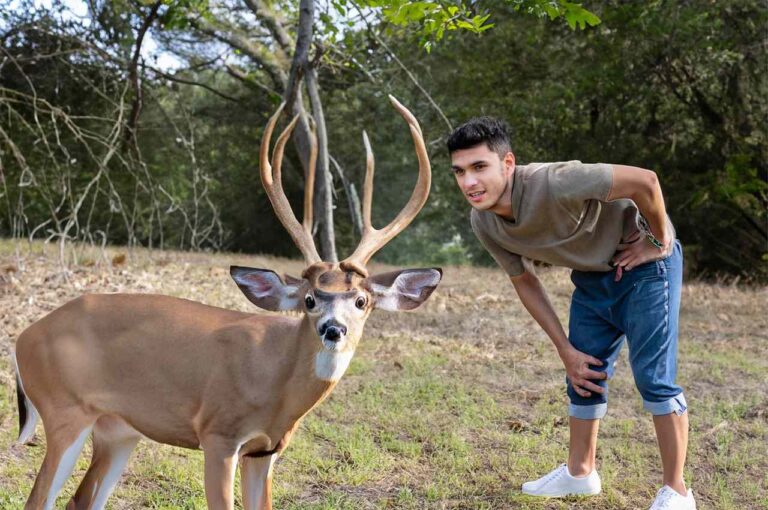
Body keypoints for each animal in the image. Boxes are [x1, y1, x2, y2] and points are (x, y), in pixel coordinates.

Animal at [13, 96, 442, 510]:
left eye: (362, 300)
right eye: (309, 299)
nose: (333, 329)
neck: (277, 385)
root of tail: (22, 339)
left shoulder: (265, 450)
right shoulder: (218, 433)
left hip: (117, 430)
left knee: (79, 500)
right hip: (65, 408)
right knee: (38, 499)